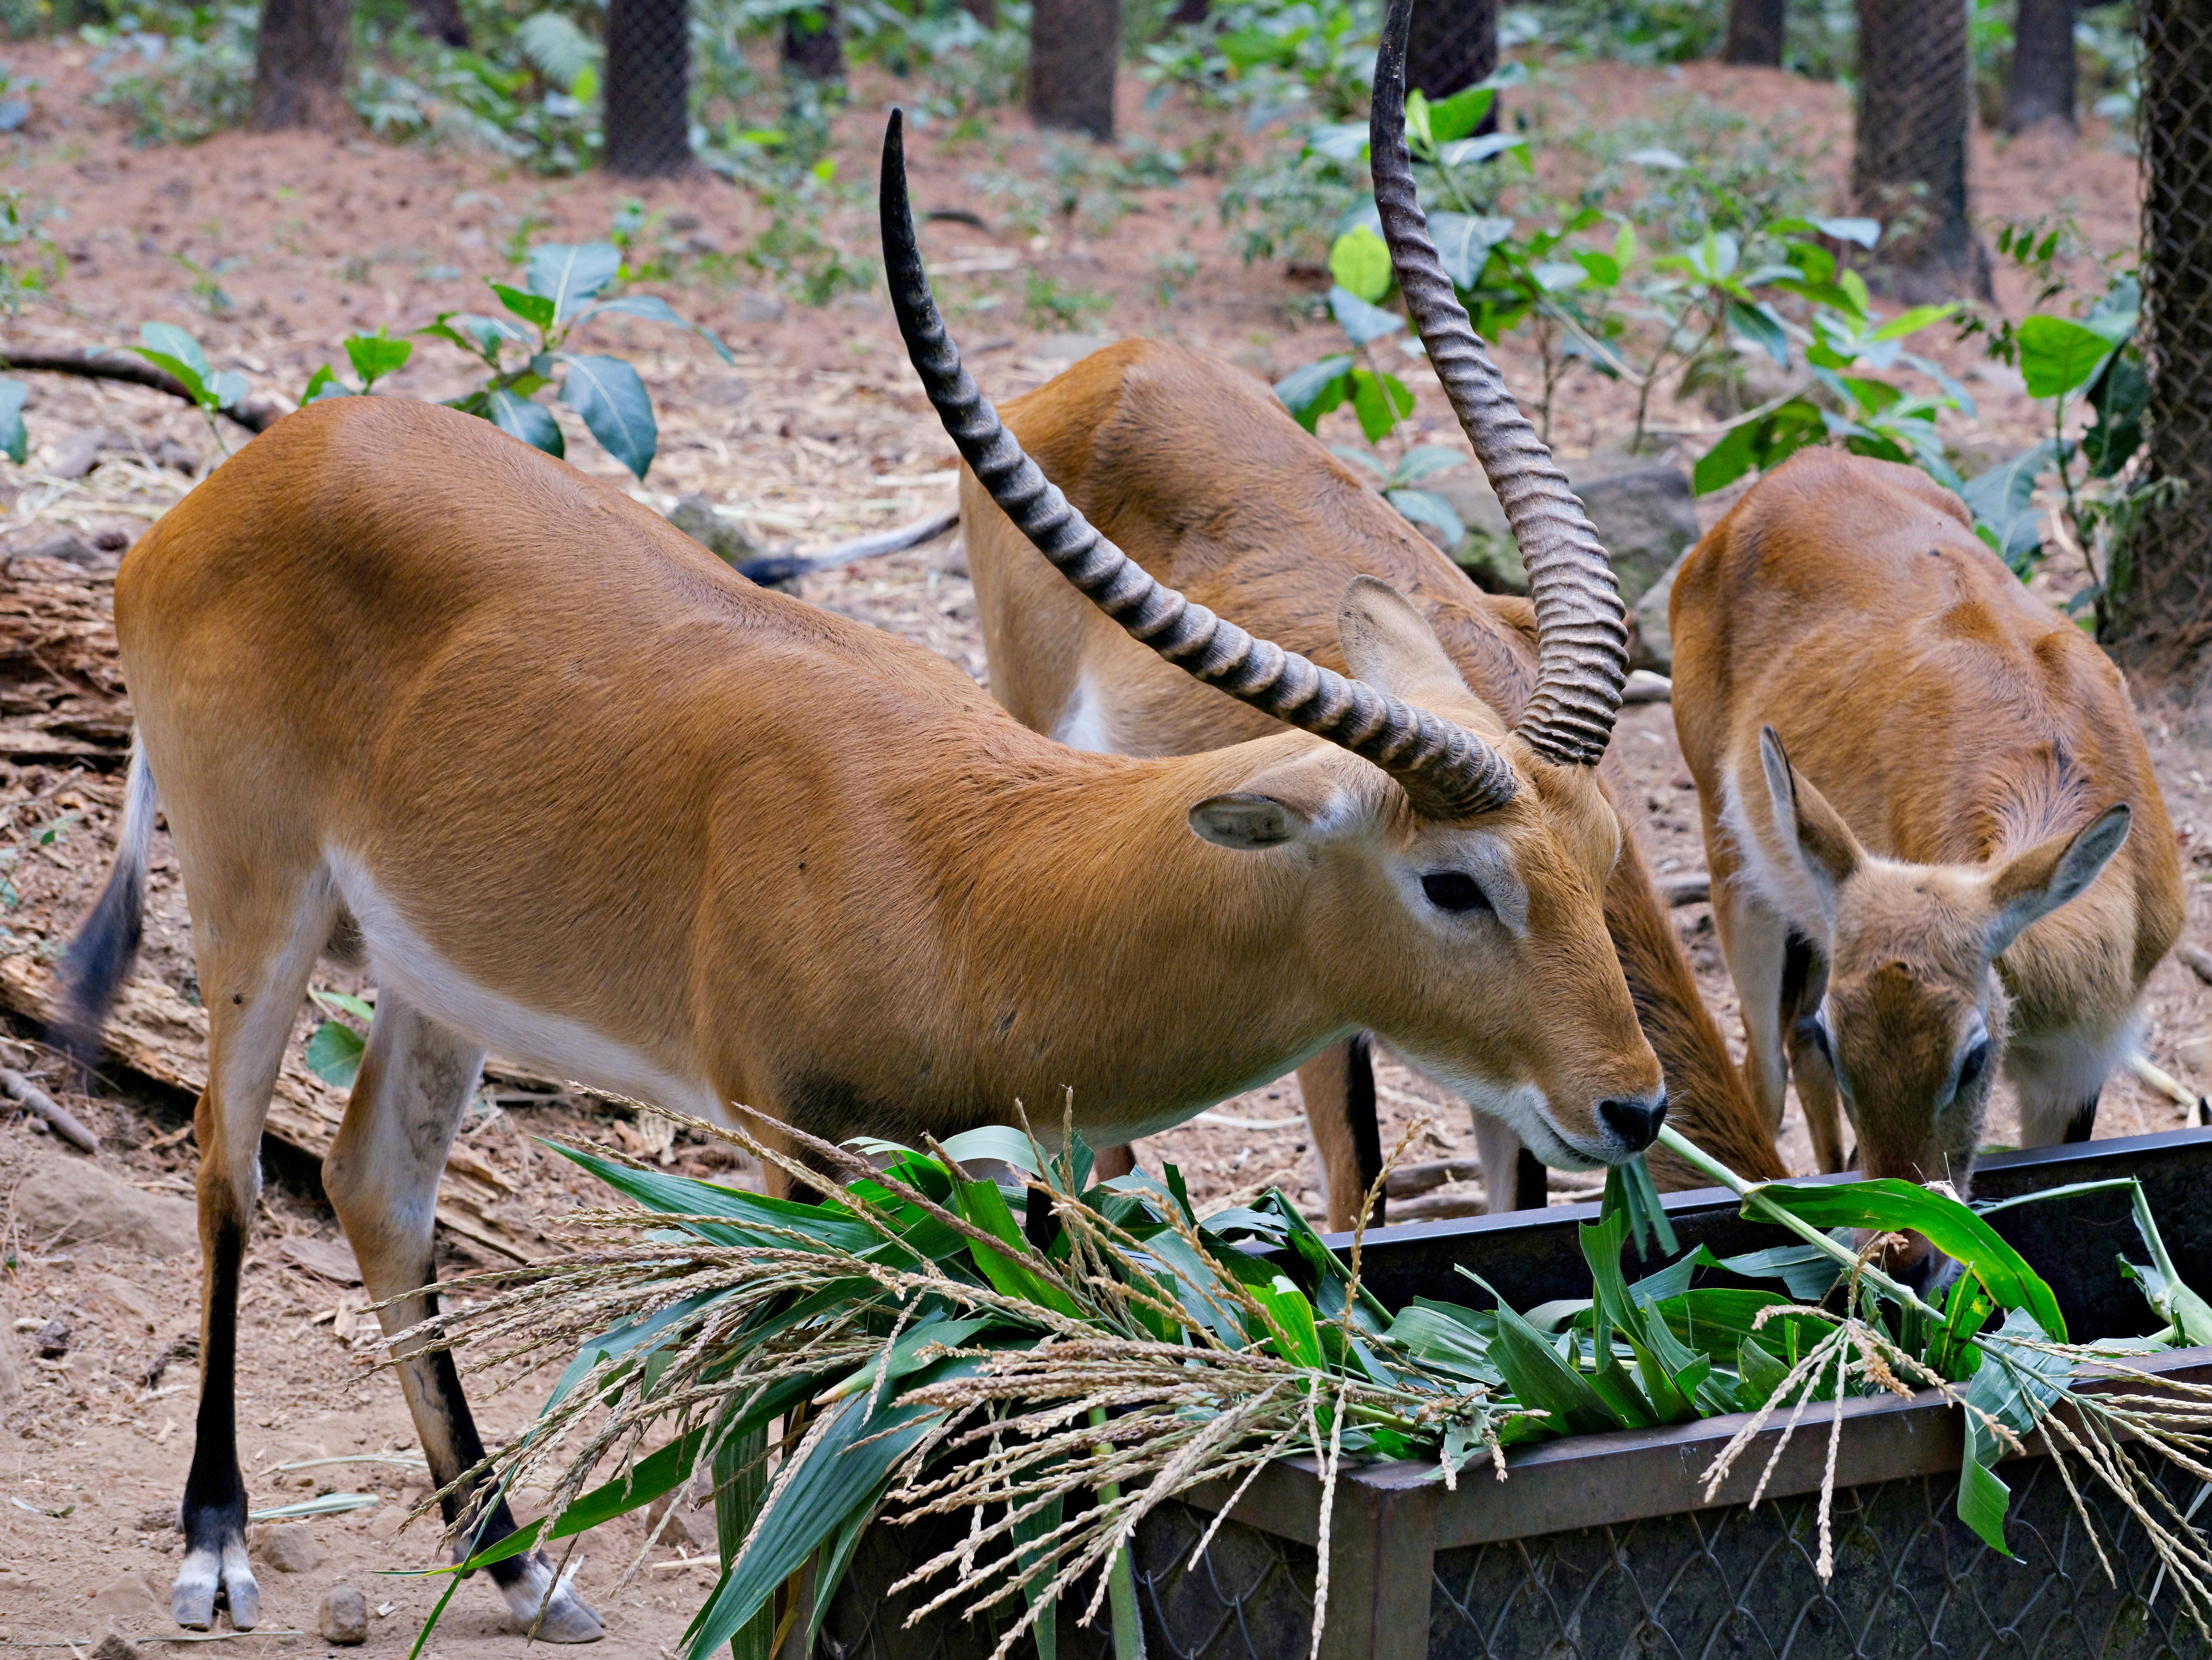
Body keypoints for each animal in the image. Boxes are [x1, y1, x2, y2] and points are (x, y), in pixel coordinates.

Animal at [55, 111, 1663, 1643]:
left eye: (1599, 854)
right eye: (1454, 882)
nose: (1630, 1105)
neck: (974, 881)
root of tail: (226, 490)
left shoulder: (991, 1164)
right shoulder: (794, 1142)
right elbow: (807, 1422)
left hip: (435, 974)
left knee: (373, 1182)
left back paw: (518, 1572)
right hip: (253, 904)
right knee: (227, 1165)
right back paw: (218, 1549)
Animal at [957, 0, 1785, 1226]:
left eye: (1600, 854)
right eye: (1450, 883)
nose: (1634, 1110)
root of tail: (1107, 367)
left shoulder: (1507, 1075)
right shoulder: (1327, 1027)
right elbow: (1359, 1192)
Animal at [1670, 446, 2181, 1256]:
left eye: (1973, 1055)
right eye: (1848, 1046)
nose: (1904, 1256)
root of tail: (1799, 463)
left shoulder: (2076, 1071)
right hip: (1735, 871)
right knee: (1766, 1068)